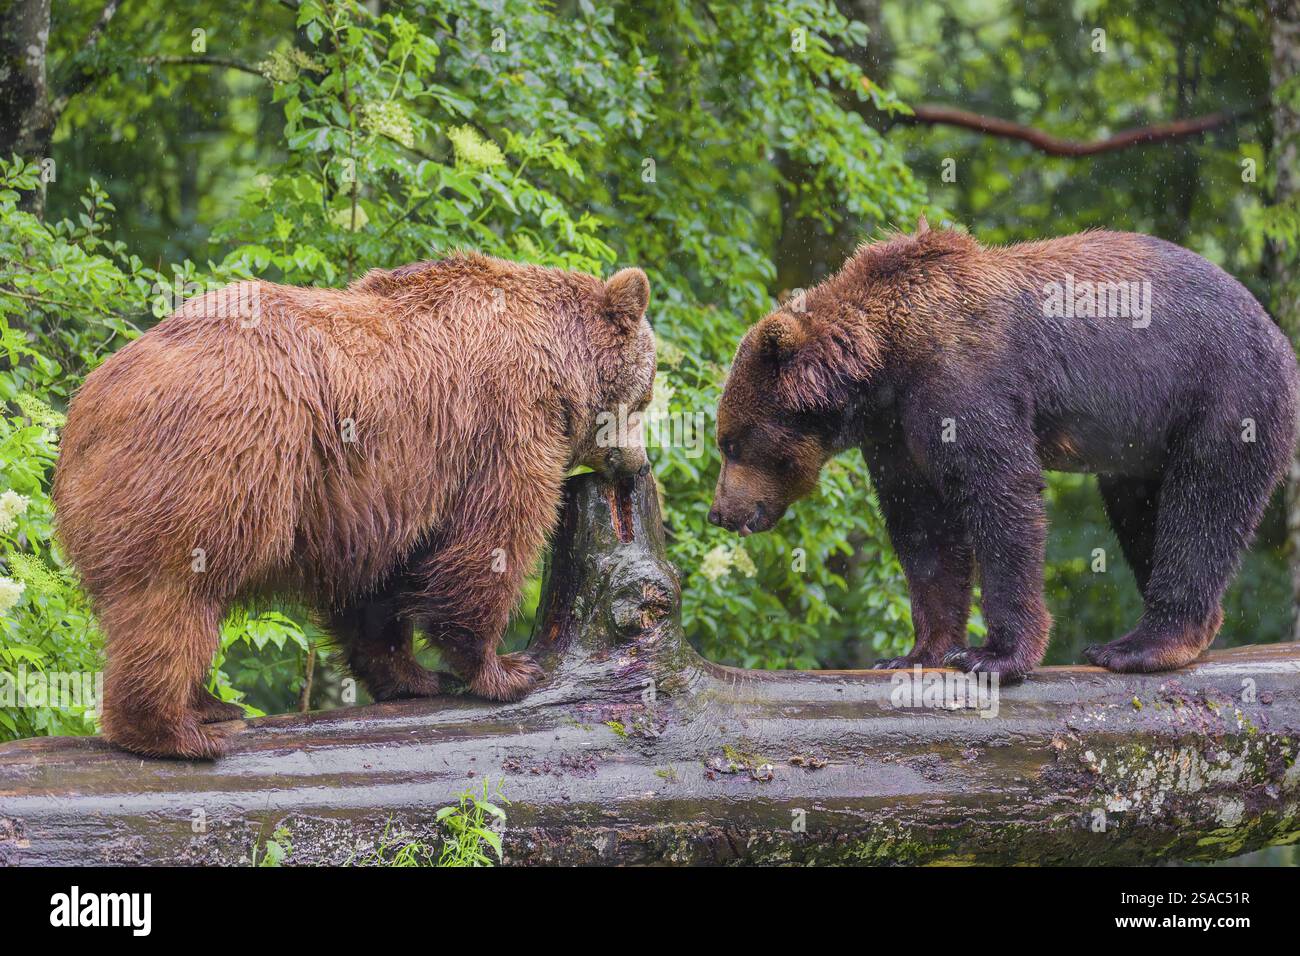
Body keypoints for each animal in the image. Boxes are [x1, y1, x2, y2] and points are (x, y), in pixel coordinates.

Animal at [52, 253, 655, 758]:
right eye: (648, 395)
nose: (639, 464)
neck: (559, 363)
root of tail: (92, 400)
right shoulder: (503, 423)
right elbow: (491, 537)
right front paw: (504, 668)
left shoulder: (375, 499)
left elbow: (376, 585)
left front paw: (413, 677)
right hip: (220, 459)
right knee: (174, 593)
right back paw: (176, 733)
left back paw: (210, 707)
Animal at [710, 220, 1299, 680]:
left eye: (730, 441)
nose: (720, 512)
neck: (885, 366)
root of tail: (1274, 329)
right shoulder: (896, 432)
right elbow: (923, 528)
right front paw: (916, 653)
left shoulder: (965, 382)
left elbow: (1000, 494)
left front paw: (994, 654)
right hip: (1142, 442)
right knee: (1140, 511)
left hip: (1218, 394)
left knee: (1202, 505)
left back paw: (1142, 646)